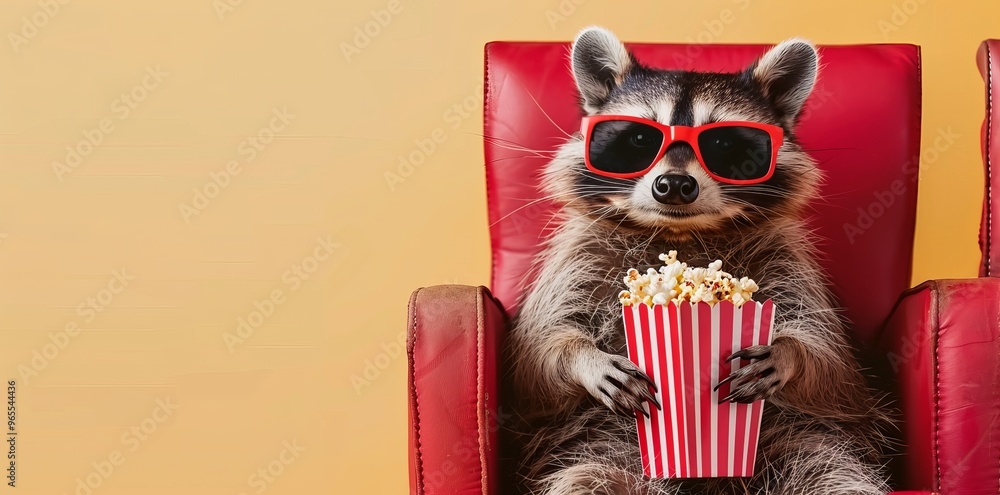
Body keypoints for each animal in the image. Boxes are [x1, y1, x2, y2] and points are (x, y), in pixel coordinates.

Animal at [503, 27, 892, 495]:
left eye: (723, 143)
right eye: (639, 140)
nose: (673, 184)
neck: (680, 237)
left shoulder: (788, 263)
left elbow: (832, 364)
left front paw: (790, 353)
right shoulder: (576, 259)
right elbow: (537, 357)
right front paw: (582, 357)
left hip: (798, 443)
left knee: (831, 472)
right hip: (602, 448)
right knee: (587, 476)